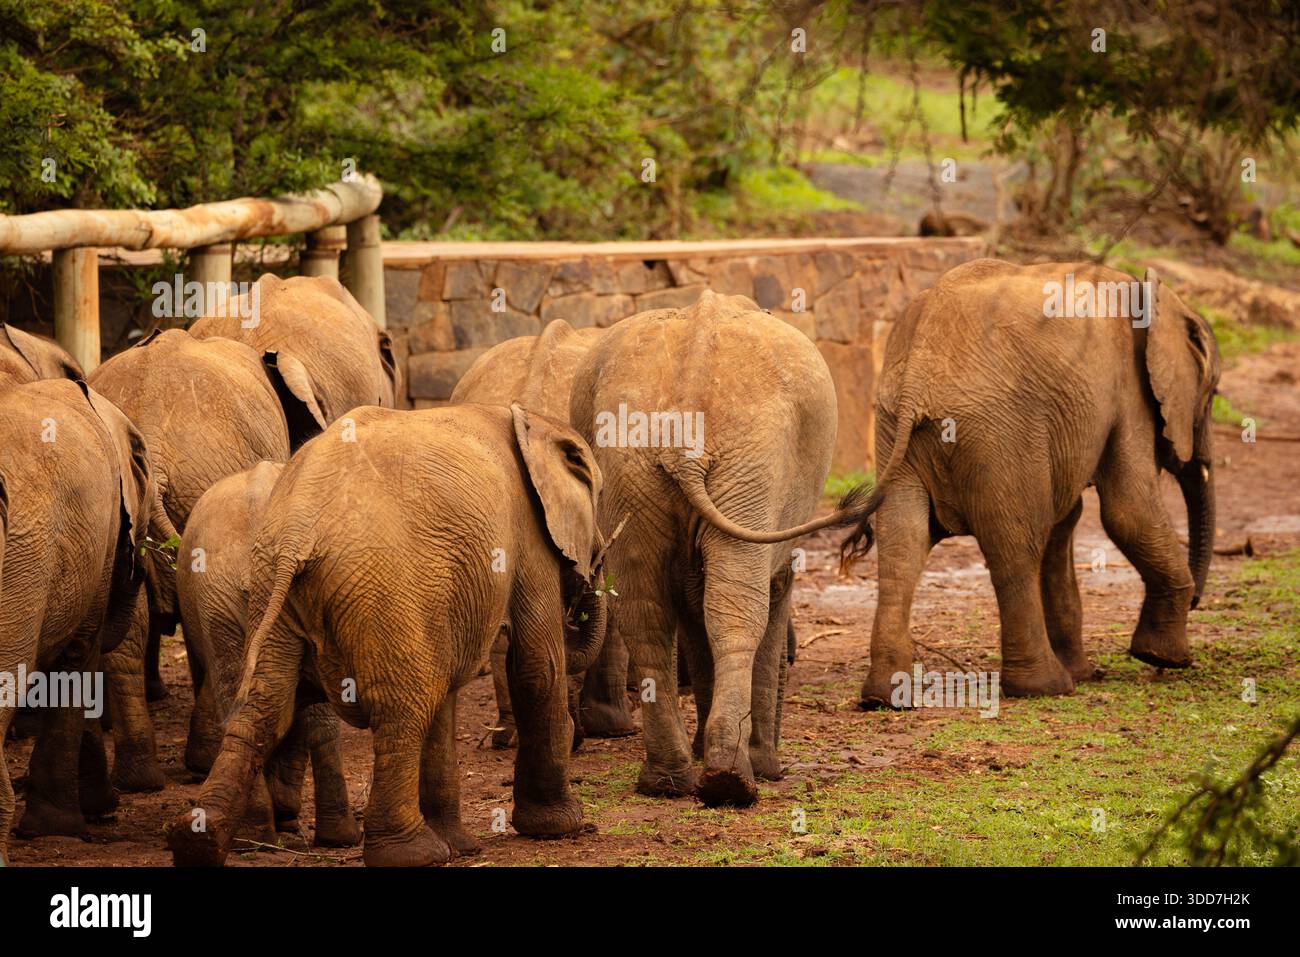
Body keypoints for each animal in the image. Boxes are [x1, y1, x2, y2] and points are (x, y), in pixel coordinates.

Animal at [568, 290, 868, 807]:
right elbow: (771, 592)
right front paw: (768, 768)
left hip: (636, 461)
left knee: (647, 612)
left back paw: (670, 781)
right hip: (753, 457)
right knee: (737, 609)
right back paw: (734, 780)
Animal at [840, 259, 1221, 706]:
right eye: (1213, 394)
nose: (1197, 601)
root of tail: (920, 364)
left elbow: (1067, 521)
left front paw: (1095, 671)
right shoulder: (1129, 392)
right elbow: (1128, 510)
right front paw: (1165, 658)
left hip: (893, 426)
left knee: (903, 543)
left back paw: (884, 698)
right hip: (1000, 431)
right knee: (1017, 546)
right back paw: (1045, 687)